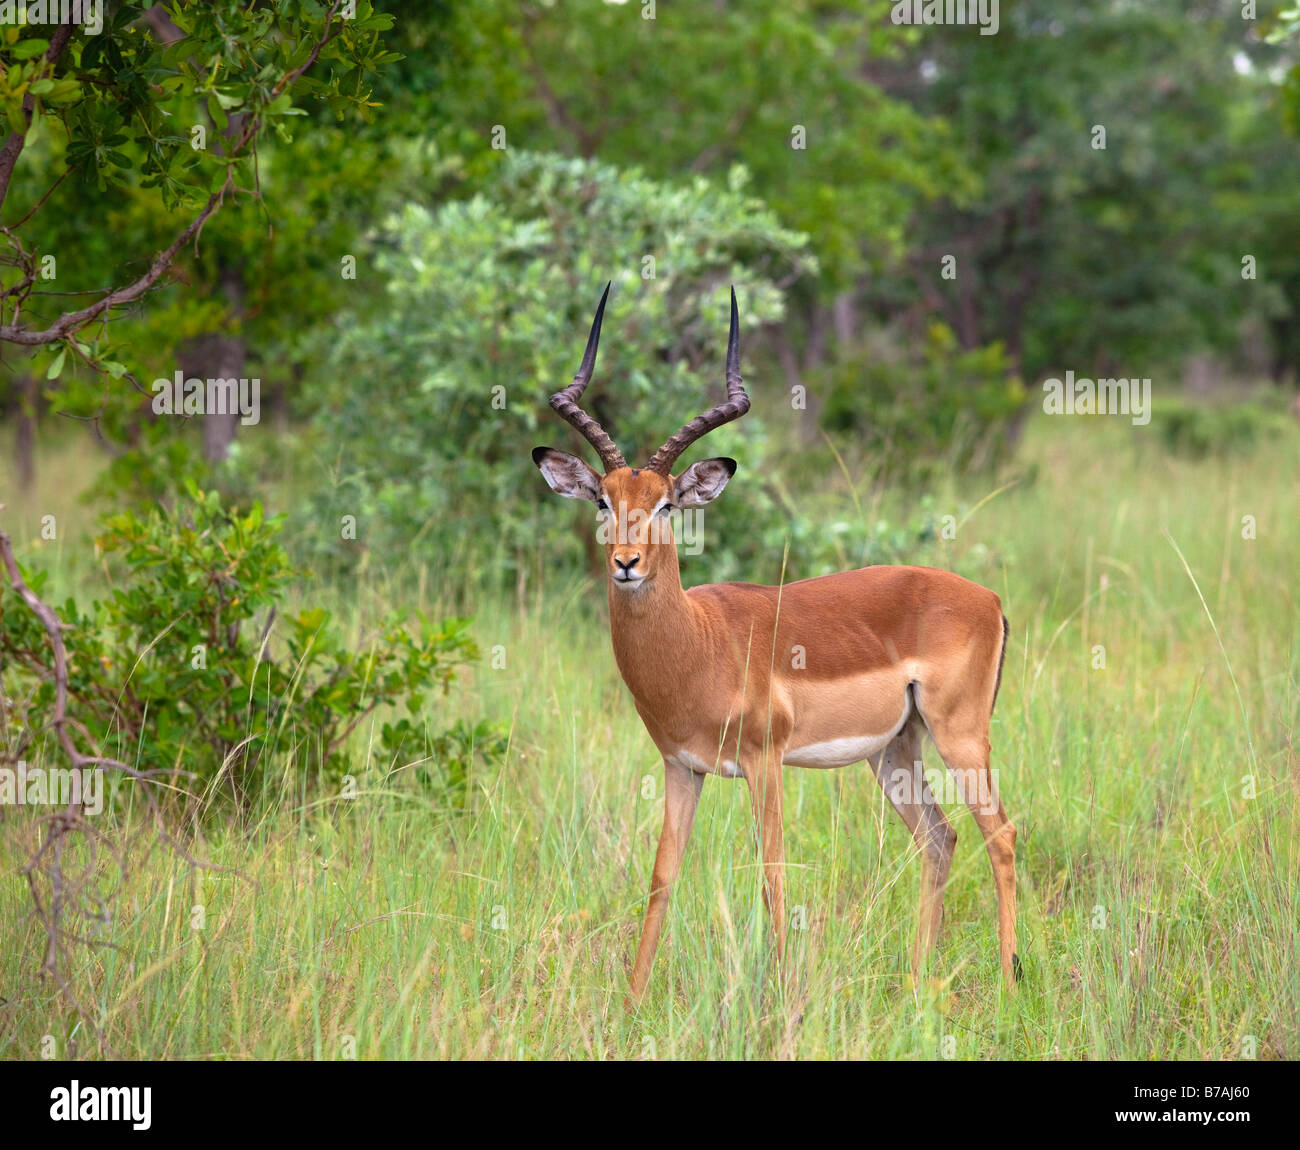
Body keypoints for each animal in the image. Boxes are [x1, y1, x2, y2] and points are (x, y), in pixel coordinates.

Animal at [532, 284, 1018, 1003]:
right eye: (602, 500)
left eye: (667, 504)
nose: (626, 563)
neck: (699, 643)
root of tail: (988, 599)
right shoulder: (681, 766)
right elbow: (661, 879)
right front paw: (633, 1000)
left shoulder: (765, 763)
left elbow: (773, 874)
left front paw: (782, 996)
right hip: (894, 750)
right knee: (941, 838)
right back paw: (914, 982)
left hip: (960, 736)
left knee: (1001, 835)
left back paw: (1012, 979)